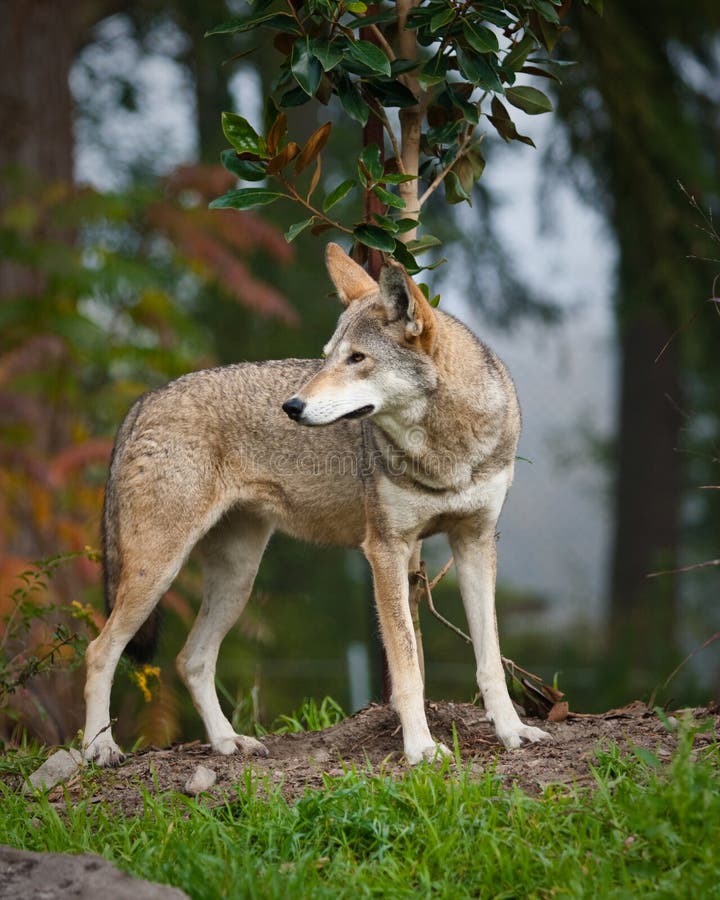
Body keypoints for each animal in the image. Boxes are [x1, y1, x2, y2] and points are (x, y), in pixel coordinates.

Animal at [82, 243, 549, 766]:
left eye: (357, 358)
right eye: (326, 358)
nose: (292, 407)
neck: (447, 448)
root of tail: (144, 401)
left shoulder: (475, 541)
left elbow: (489, 660)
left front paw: (513, 732)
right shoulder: (385, 550)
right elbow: (407, 669)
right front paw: (422, 749)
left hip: (237, 579)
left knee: (191, 659)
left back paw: (227, 742)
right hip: (158, 571)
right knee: (99, 651)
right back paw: (98, 749)